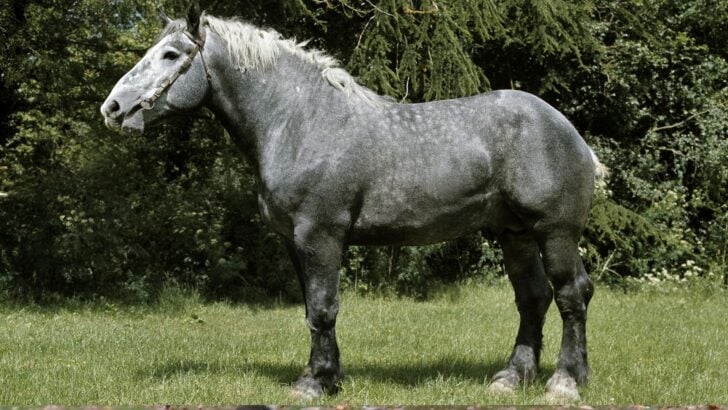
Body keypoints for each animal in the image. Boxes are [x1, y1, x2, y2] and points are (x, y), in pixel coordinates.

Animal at [101, 2, 605, 402]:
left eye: (170, 55)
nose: (113, 108)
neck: (299, 121)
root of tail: (570, 131)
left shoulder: (320, 235)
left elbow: (325, 308)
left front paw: (314, 384)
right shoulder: (294, 241)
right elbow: (312, 310)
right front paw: (328, 377)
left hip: (554, 232)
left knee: (571, 295)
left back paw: (565, 382)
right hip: (513, 233)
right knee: (533, 297)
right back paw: (512, 378)